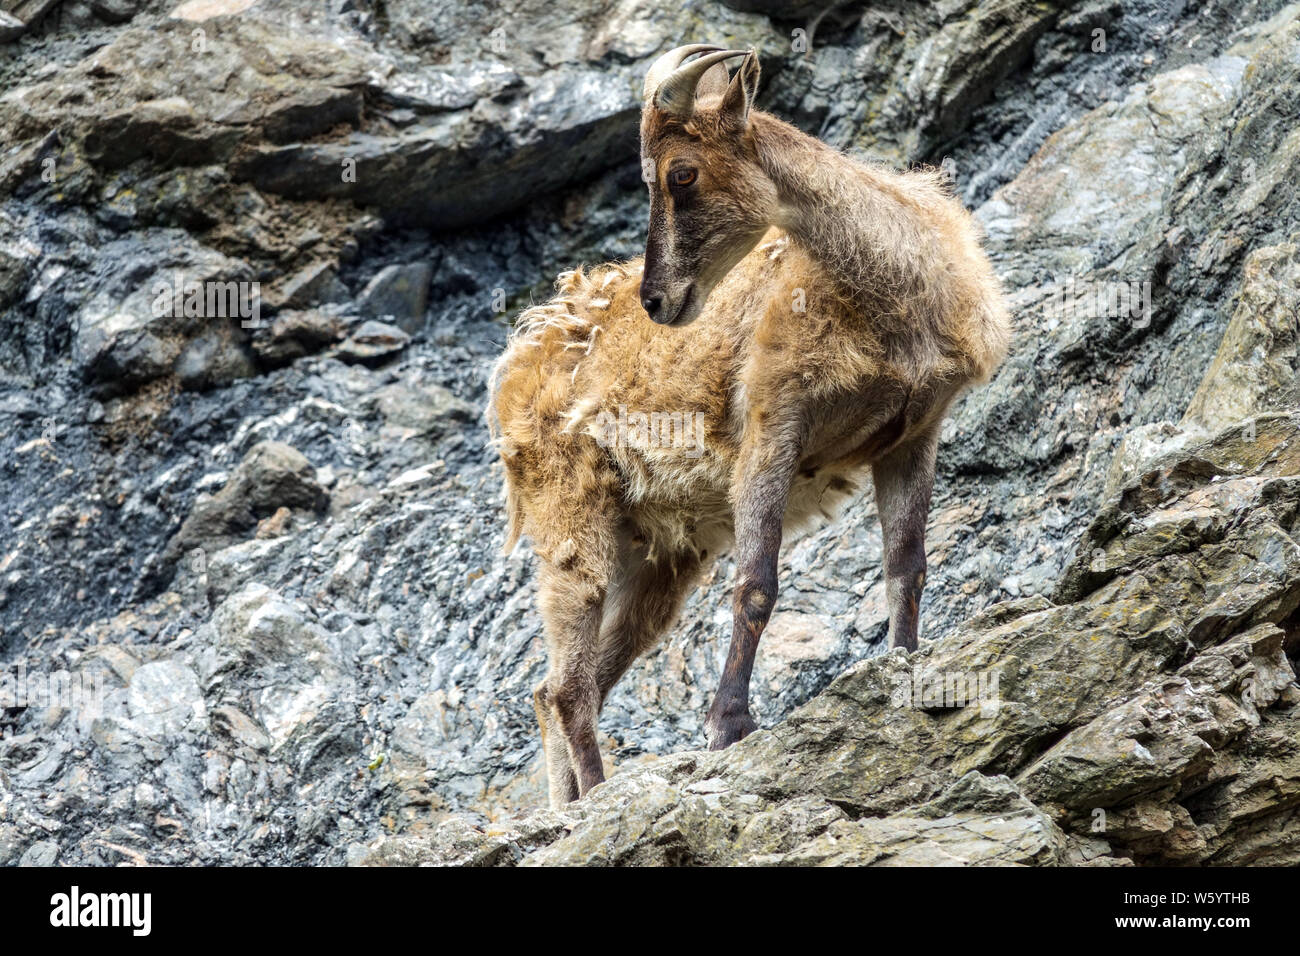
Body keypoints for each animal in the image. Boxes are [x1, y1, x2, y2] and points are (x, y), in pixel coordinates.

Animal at [488, 45, 1010, 806]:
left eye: (681, 173)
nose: (657, 300)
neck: (892, 296)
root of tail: (520, 358)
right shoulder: (773, 423)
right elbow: (757, 583)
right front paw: (729, 724)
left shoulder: (914, 435)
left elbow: (906, 565)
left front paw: (903, 663)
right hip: (571, 516)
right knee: (568, 688)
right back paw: (597, 796)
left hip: (658, 559)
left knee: (555, 686)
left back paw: (566, 808)